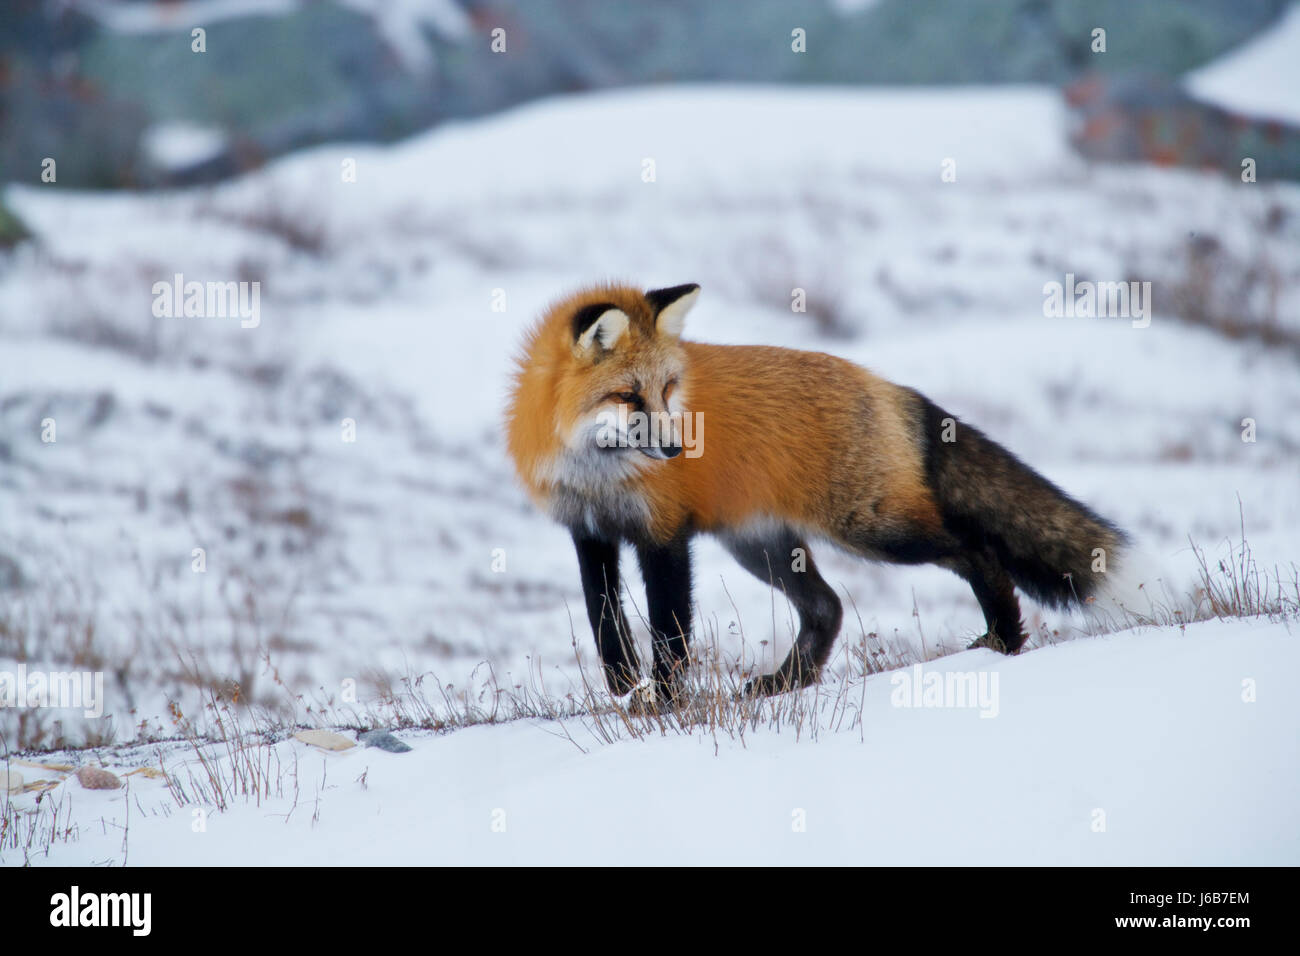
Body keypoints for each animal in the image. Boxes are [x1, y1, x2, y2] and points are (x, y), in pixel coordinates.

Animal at [506, 282, 1131, 702]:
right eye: (628, 396)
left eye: (667, 389)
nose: (679, 449)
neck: (598, 471)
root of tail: (883, 383)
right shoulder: (589, 532)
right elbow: (603, 619)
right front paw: (621, 686)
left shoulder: (664, 534)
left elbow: (670, 631)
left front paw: (668, 702)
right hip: (762, 547)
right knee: (827, 608)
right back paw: (787, 683)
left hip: (874, 529)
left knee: (977, 552)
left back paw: (1003, 639)